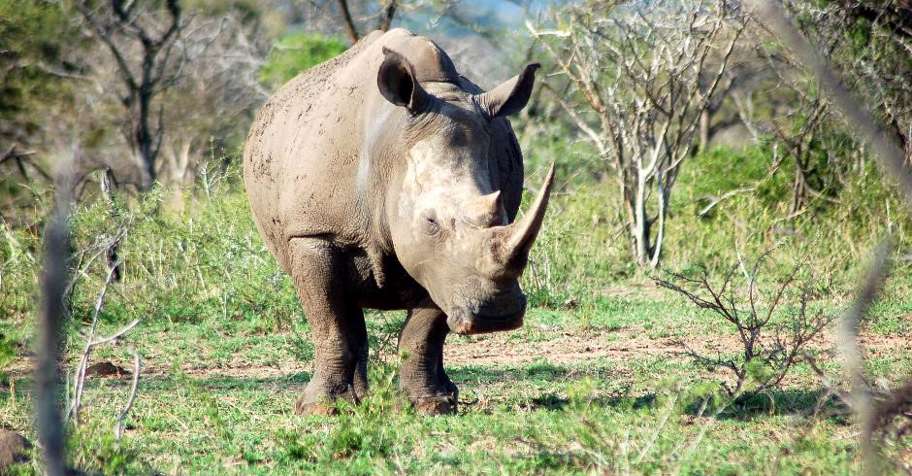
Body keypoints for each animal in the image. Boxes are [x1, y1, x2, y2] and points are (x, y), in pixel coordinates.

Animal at [243, 28, 554, 415]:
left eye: (502, 215)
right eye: (431, 221)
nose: (497, 316)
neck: (390, 152)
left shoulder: (438, 261)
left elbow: (426, 329)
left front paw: (429, 405)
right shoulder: (314, 233)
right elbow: (331, 323)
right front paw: (322, 410)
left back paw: (439, 394)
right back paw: (357, 400)